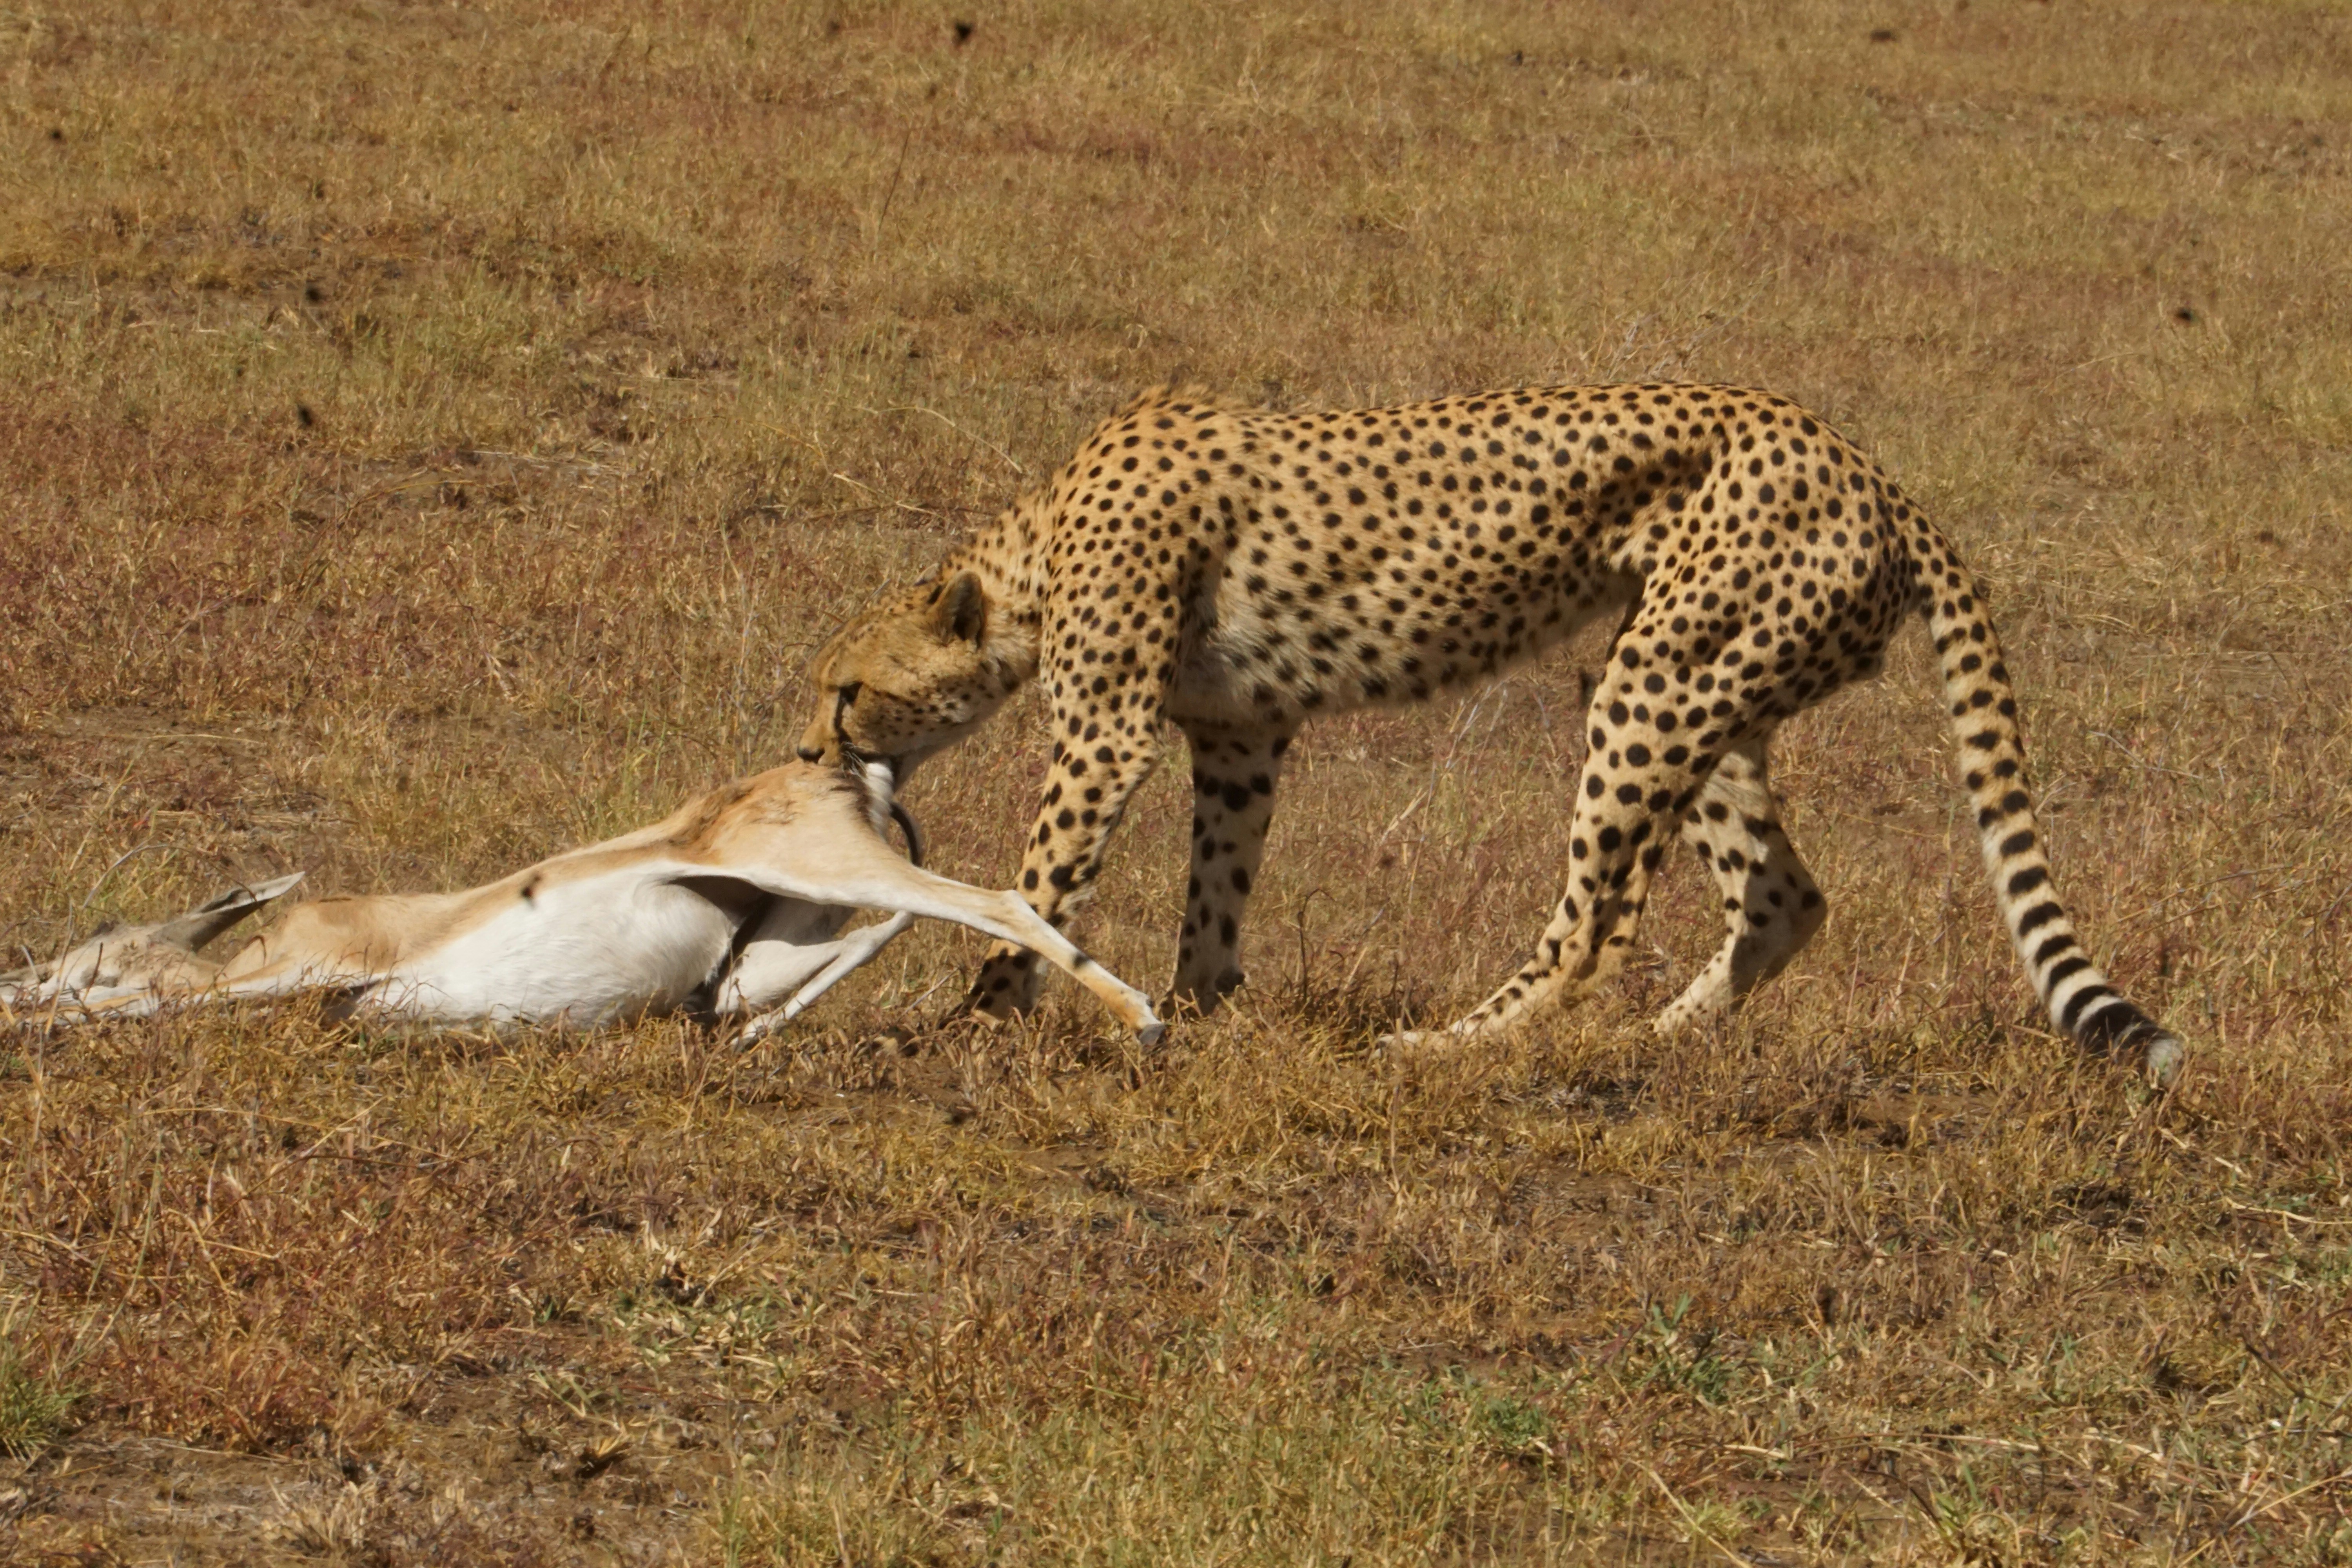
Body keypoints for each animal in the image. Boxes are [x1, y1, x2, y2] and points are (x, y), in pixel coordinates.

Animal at [798, 381, 2183, 1083]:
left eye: (842, 690)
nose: (811, 756)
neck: (1031, 550)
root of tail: (1874, 472)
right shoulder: (1240, 738)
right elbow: (1215, 888)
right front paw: (1201, 1008)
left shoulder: (1107, 734)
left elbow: (1032, 888)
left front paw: (974, 1020)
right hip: (1693, 682)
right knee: (1783, 895)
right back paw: (1664, 1039)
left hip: (1648, 689)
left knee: (1598, 926)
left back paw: (1451, 1045)